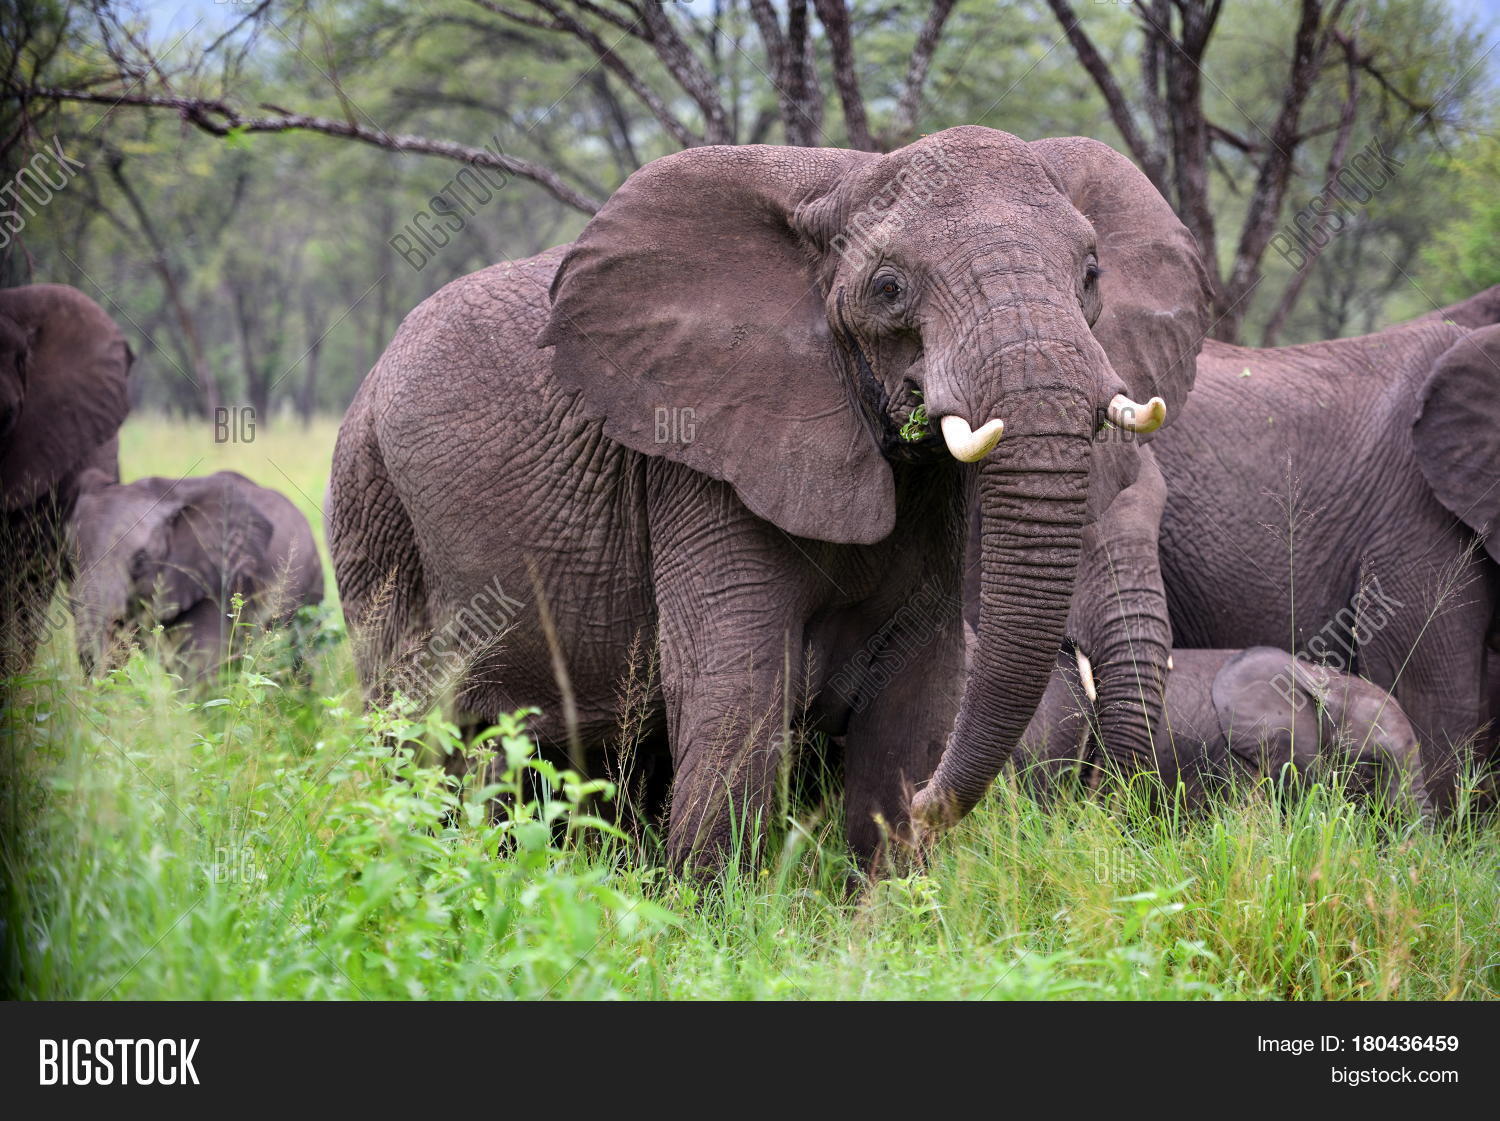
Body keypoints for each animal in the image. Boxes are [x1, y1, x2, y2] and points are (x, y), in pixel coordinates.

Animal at [328, 126, 1211, 869]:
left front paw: (880, 911)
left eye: (1091, 275)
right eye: (888, 287)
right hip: (372, 504)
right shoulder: (695, 462)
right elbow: (737, 688)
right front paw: (714, 923)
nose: (932, 809)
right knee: (418, 728)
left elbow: (917, 690)